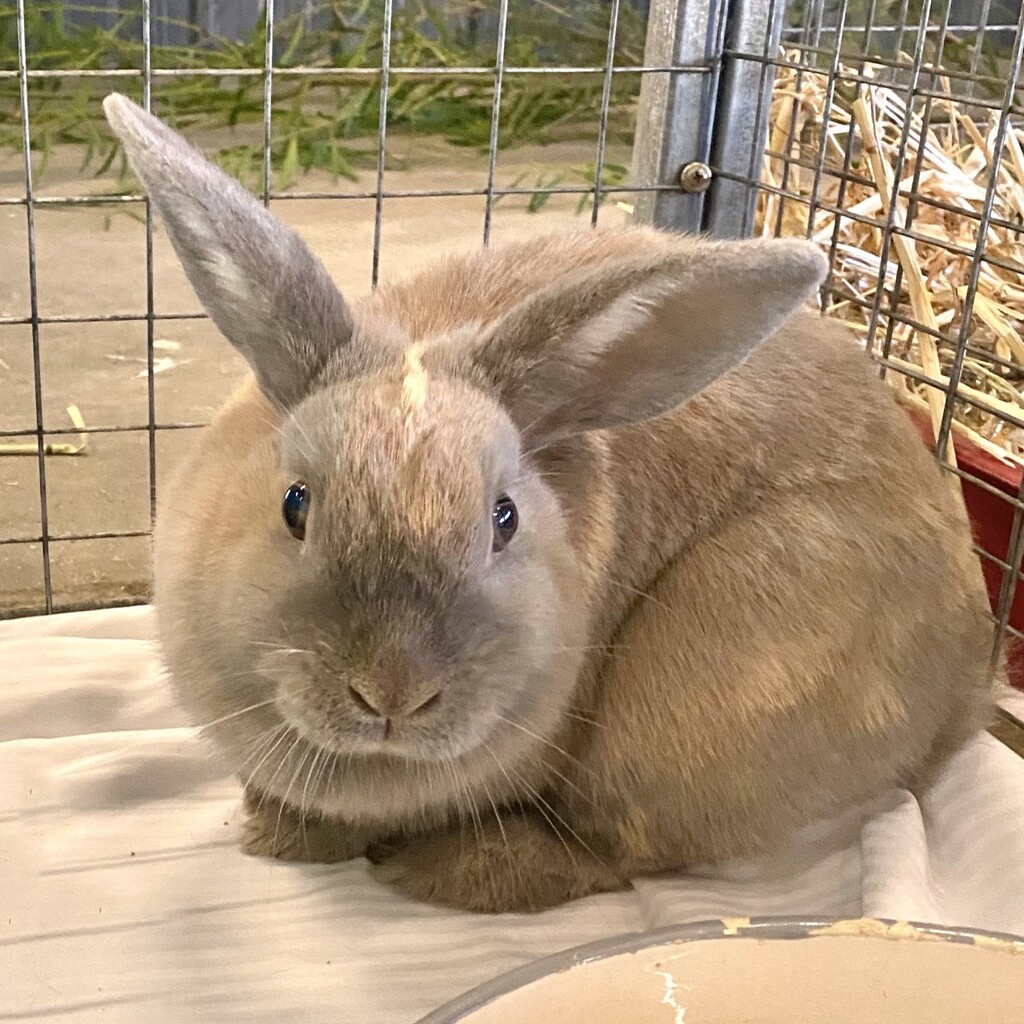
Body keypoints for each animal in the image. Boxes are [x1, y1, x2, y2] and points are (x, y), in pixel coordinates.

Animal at [104, 93, 995, 913]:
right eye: (295, 505)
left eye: (504, 520)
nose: (392, 693)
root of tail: (965, 685)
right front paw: (282, 829)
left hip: (690, 706)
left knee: (617, 849)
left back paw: (448, 871)